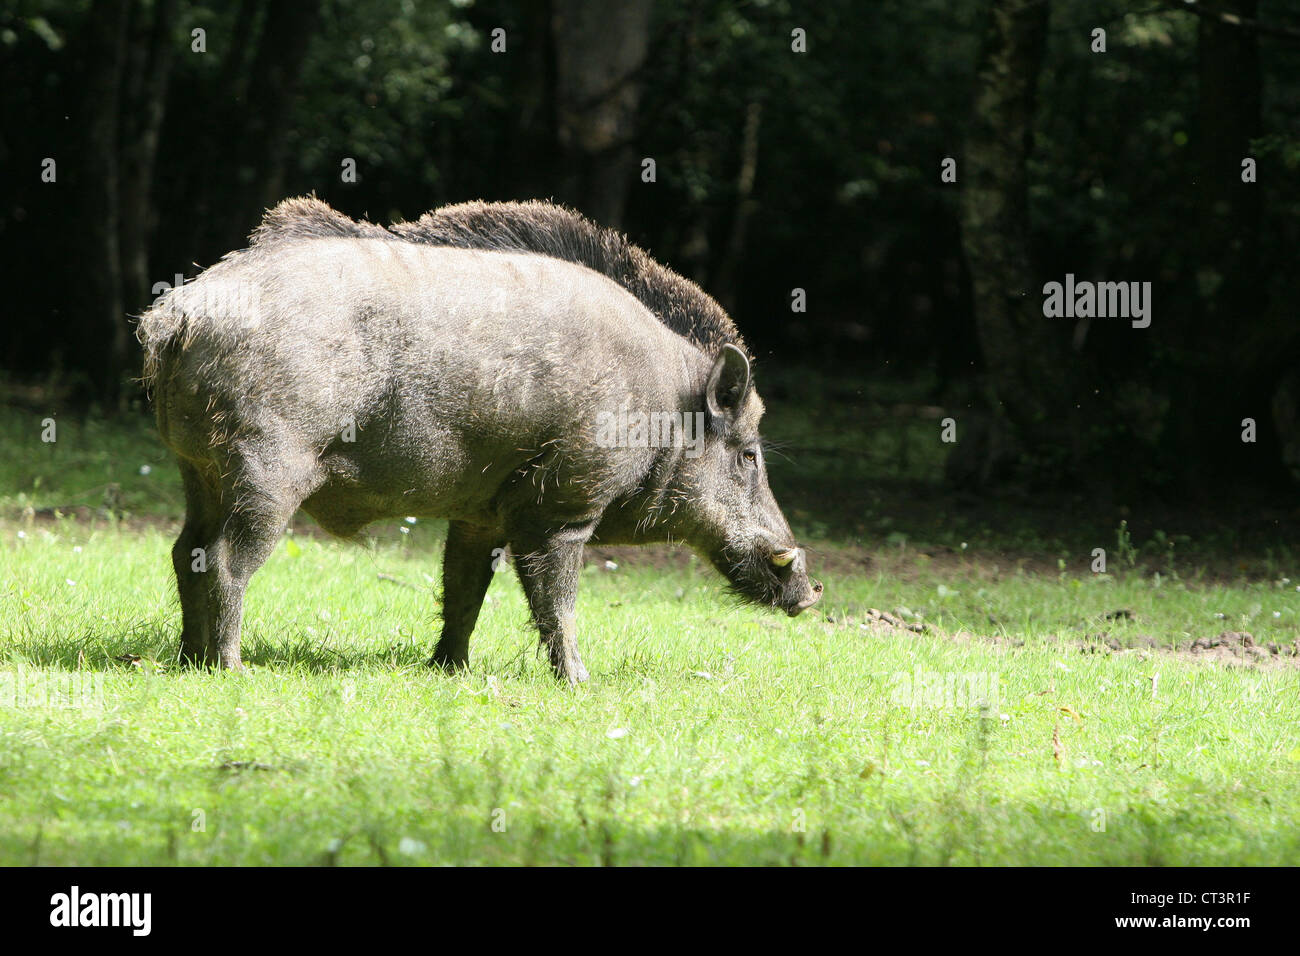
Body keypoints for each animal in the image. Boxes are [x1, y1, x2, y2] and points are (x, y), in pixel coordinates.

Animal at [137, 197, 821, 684]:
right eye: (749, 454)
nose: (811, 593)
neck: (660, 409)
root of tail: (178, 315)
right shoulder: (564, 504)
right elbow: (556, 598)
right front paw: (581, 682)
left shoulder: (482, 511)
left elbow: (465, 586)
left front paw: (449, 669)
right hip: (267, 464)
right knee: (226, 557)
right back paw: (232, 669)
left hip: (197, 470)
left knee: (184, 550)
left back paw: (188, 661)